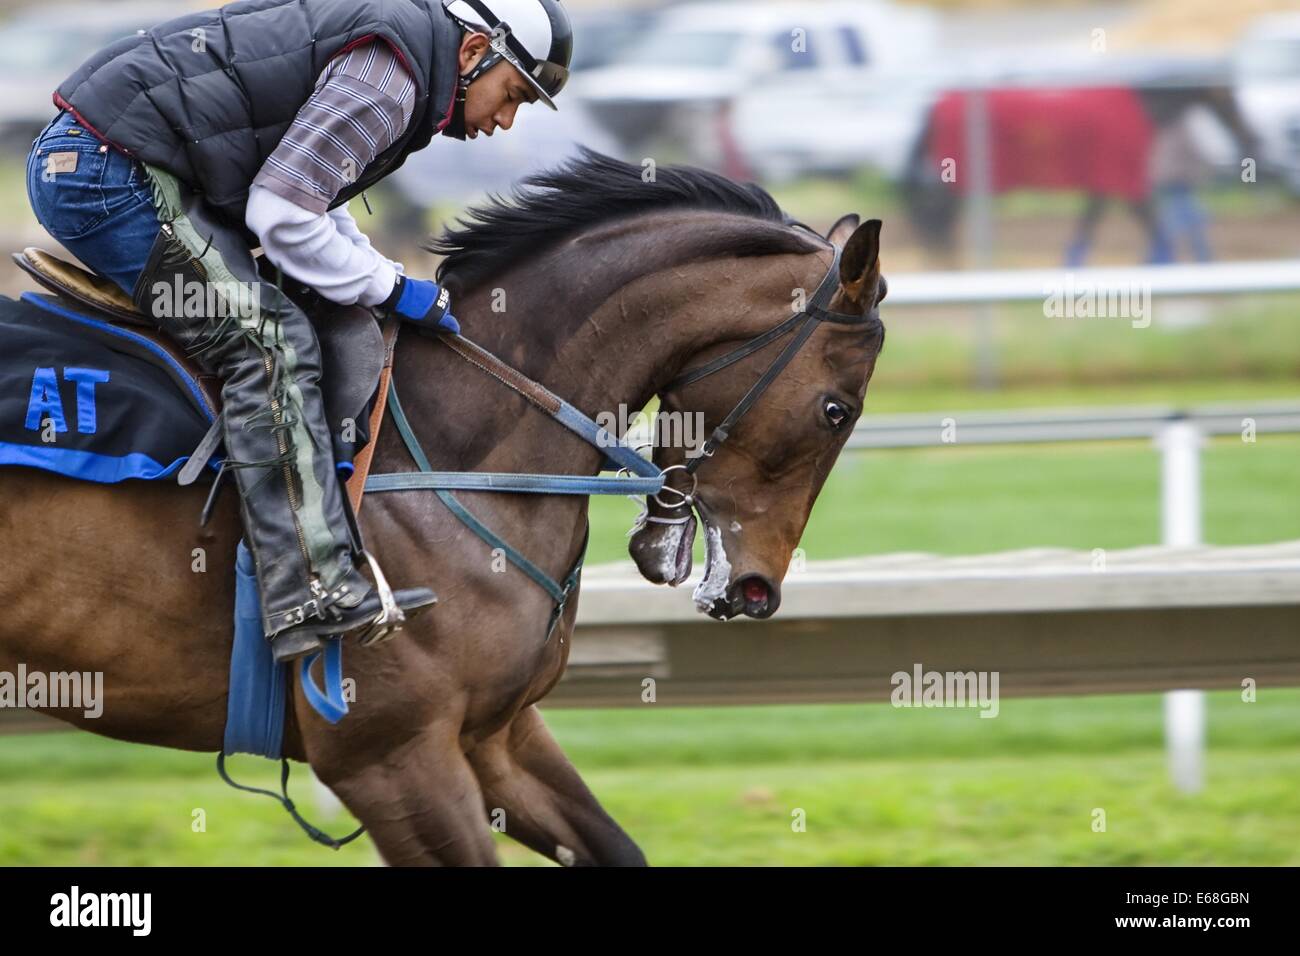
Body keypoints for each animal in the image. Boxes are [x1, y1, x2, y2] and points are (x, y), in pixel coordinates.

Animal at [0, 151, 887, 865]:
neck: (454, 444)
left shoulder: (495, 734)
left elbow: (616, 846)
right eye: (836, 410)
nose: (757, 591)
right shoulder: (388, 756)